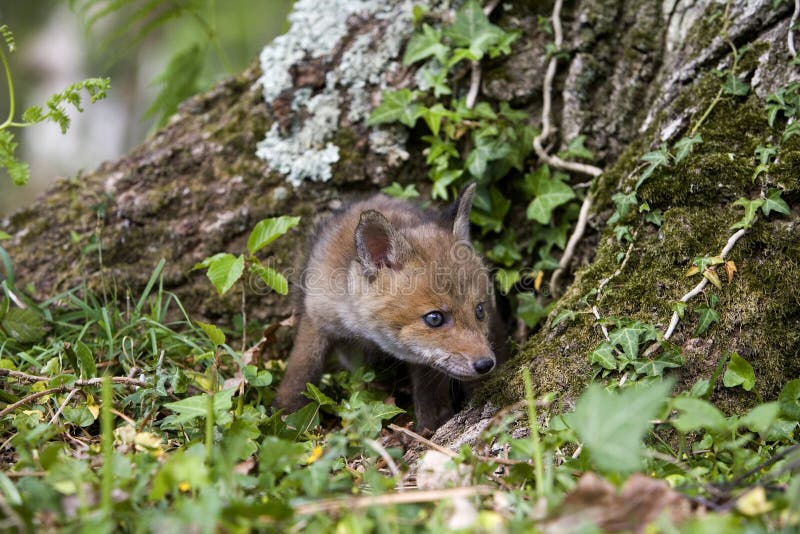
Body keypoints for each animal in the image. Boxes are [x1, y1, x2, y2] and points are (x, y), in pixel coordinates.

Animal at [275, 183, 506, 431]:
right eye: (435, 318)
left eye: (479, 311)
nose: (486, 364)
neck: (359, 325)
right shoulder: (316, 317)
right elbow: (300, 372)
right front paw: (288, 417)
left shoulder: (422, 360)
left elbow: (429, 391)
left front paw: (431, 427)